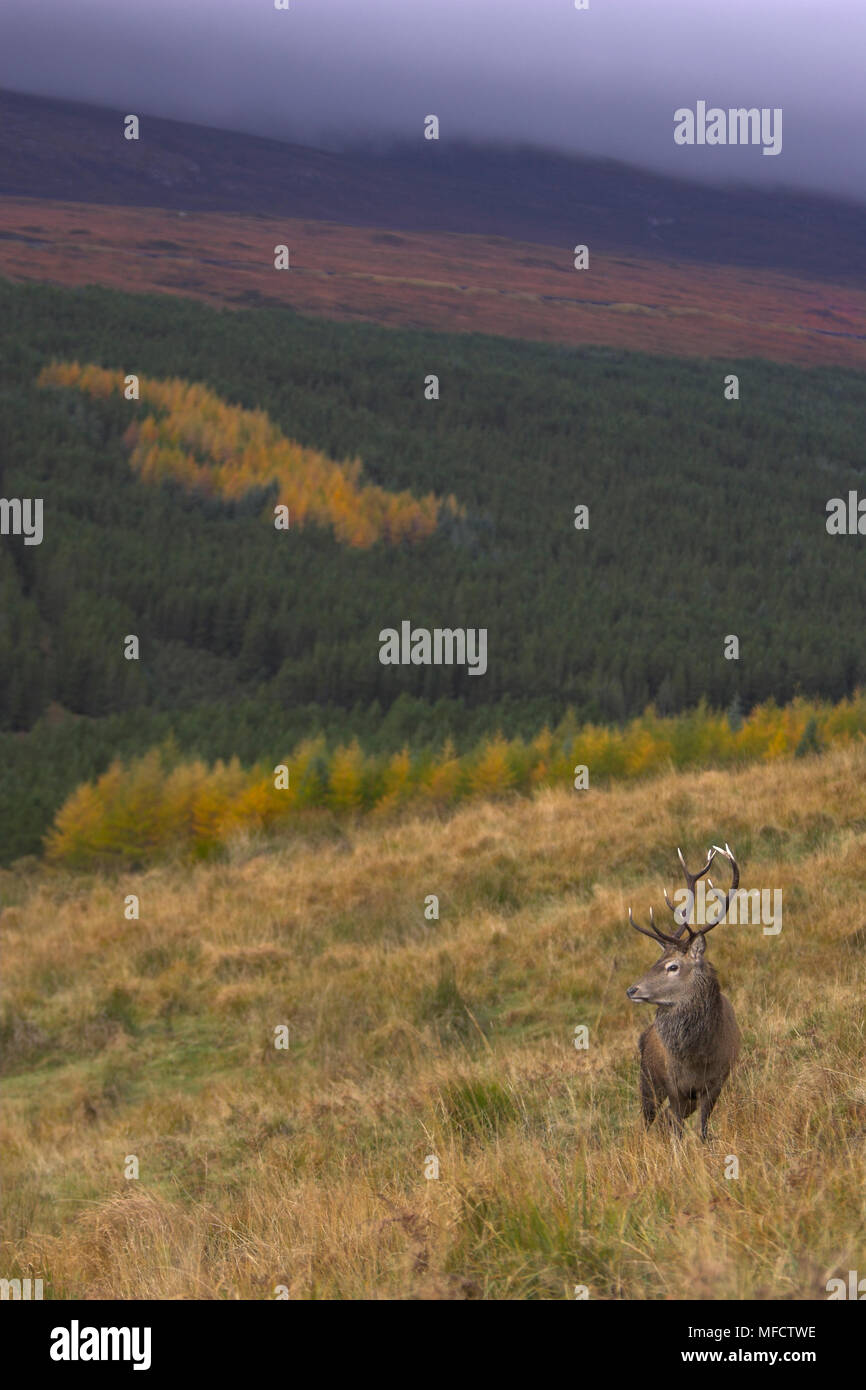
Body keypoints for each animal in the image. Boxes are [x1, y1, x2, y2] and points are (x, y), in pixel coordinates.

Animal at [625, 844, 741, 1141]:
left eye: (673, 966)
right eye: (656, 962)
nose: (632, 989)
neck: (699, 1057)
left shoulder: (715, 1083)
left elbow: (702, 1131)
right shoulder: (675, 1085)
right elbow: (677, 1133)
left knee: (664, 1120)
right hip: (648, 1079)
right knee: (649, 1121)